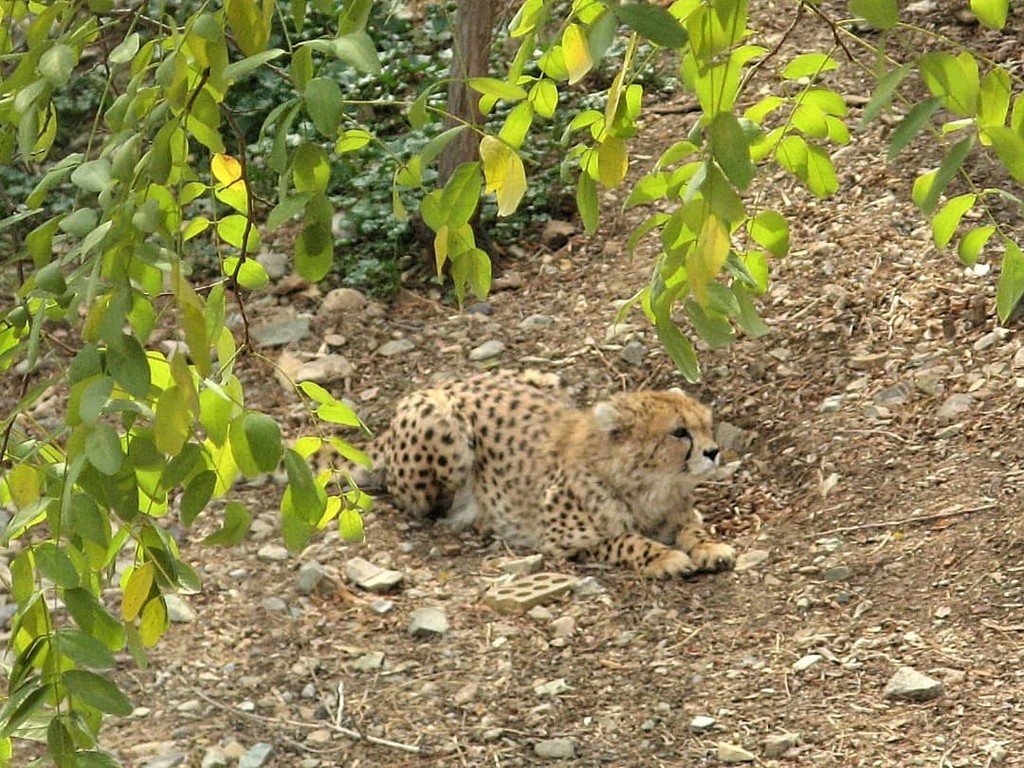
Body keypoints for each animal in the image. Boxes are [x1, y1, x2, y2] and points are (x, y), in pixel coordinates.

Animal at [356, 370, 736, 578]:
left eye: (706, 424)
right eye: (679, 432)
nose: (714, 451)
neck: (649, 487)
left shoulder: (681, 513)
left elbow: (691, 528)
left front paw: (710, 547)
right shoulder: (561, 541)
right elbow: (625, 539)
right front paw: (663, 556)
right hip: (441, 424)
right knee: (424, 506)